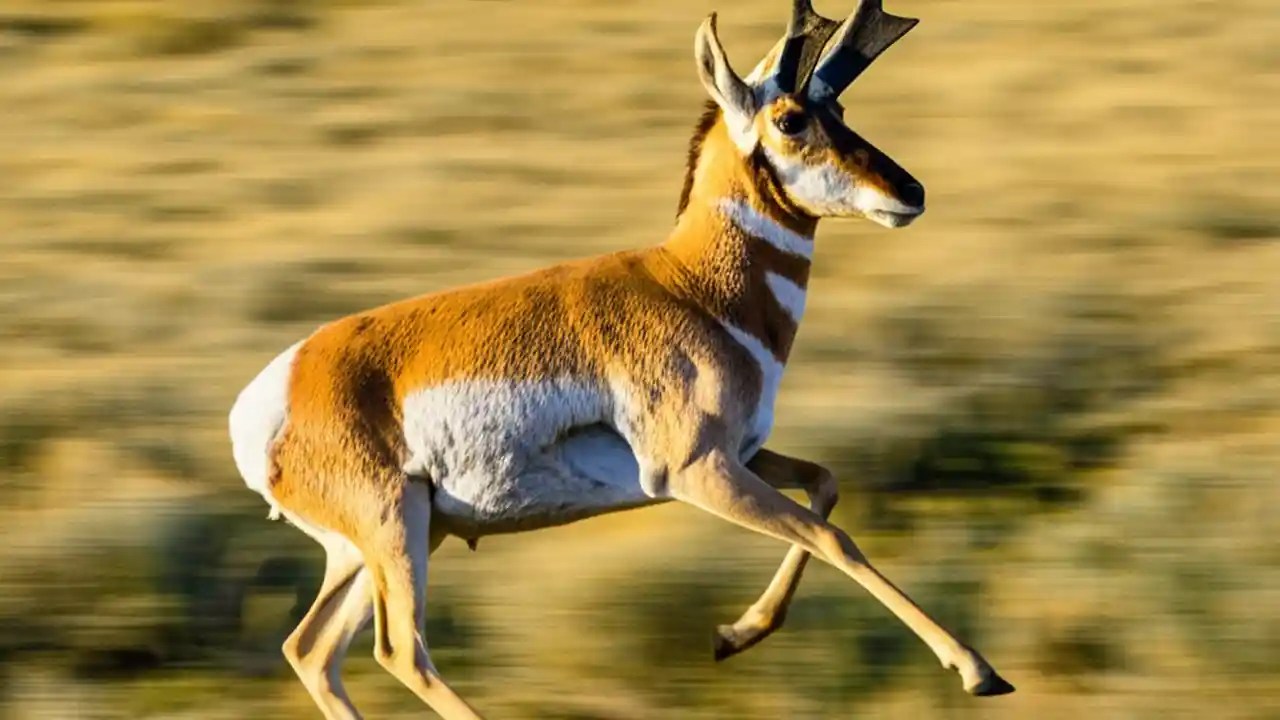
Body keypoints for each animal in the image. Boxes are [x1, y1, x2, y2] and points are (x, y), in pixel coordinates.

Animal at [229, 1, 1015, 717]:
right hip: (395, 533)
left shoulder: (743, 454)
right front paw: (978, 670)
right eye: (792, 119)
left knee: (312, 648)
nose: (910, 191)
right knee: (400, 650)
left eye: (842, 106)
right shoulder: (696, 471)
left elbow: (826, 483)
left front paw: (734, 635)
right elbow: (834, 536)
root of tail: (270, 395)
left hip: (386, 544)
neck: (690, 287)